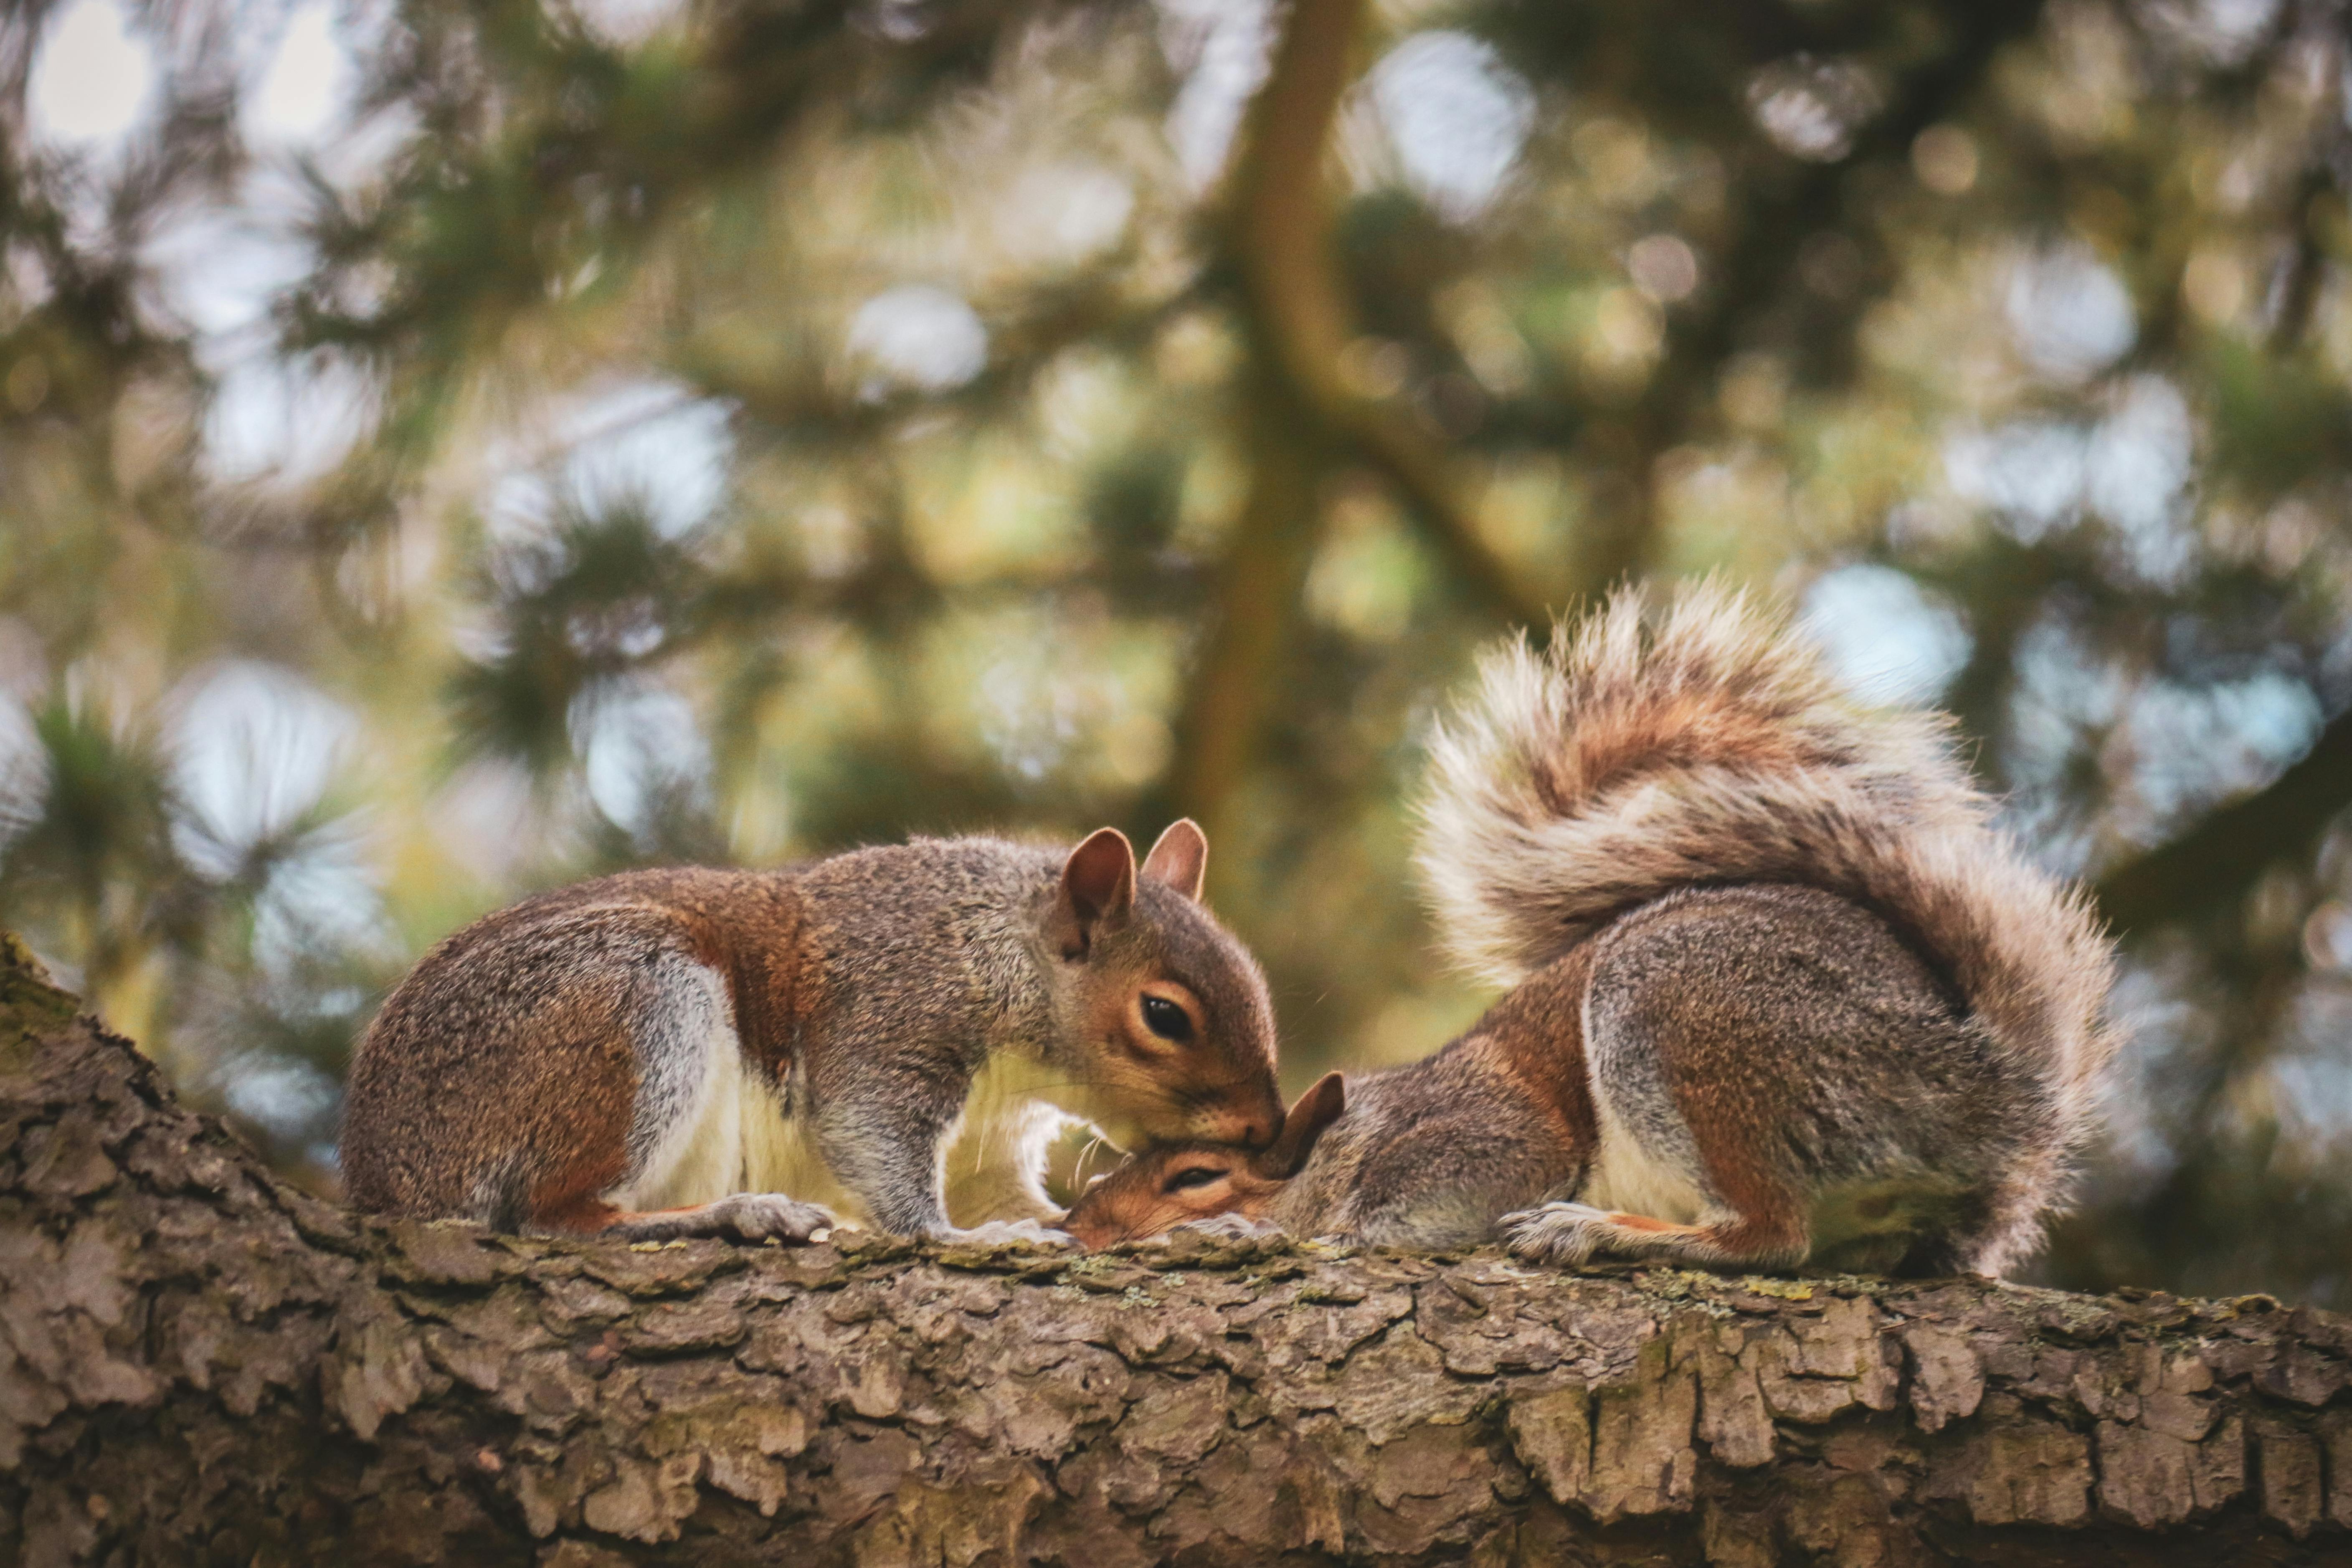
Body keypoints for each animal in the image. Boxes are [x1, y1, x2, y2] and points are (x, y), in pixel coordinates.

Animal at [340, 822, 1285, 1244]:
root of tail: (383, 1176)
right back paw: (735, 1211)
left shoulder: (988, 1142)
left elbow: (1033, 1205)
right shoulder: (888, 1018)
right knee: (555, 1217)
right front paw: (958, 1238)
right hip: (633, 1001)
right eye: (1163, 1014)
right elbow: (870, 1136)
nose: (1267, 1131)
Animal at [1064, 585, 2118, 1278]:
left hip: (1683, 1020)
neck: (1351, 1133)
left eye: (1196, 1174)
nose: (1077, 1227)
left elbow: (1389, 1217)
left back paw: (1597, 1228)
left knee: (1767, 1234)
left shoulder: (1486, 1136)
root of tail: (1991, 1092)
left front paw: (1249, 1234)